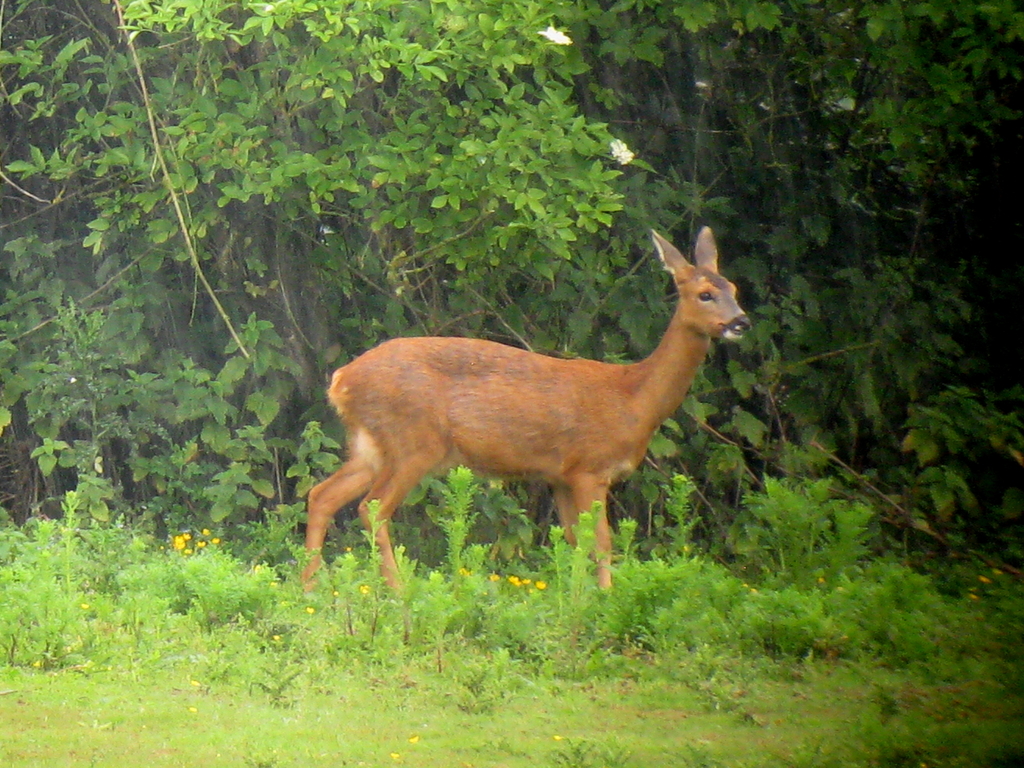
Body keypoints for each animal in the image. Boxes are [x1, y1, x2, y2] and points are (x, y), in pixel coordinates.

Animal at [302, 227, 749, 590]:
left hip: (371, 444)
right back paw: (398, 592)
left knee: (322, 495)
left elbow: (575, 541)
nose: (741, 322)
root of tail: (341, 380)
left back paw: (309, 588)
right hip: (414, 441)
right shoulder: (589, 468)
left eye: (733, 289)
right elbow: (601, 542)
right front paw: (605, 599)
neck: (634, 399)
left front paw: (575, 599)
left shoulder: (559, 477)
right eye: (705, 294)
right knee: (372, 507)